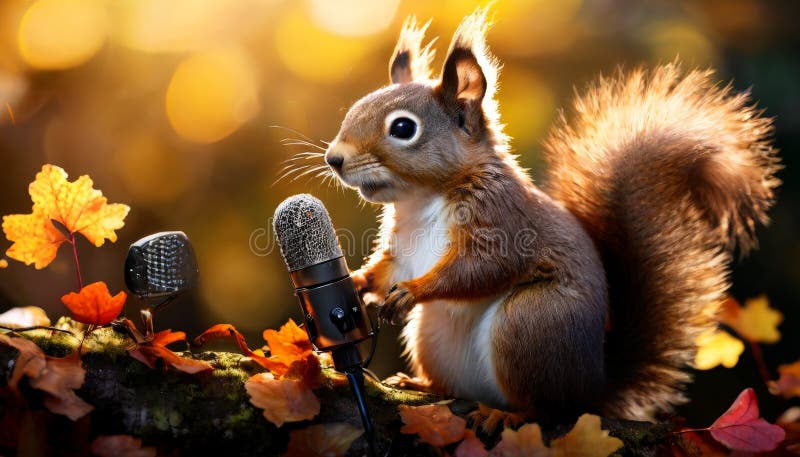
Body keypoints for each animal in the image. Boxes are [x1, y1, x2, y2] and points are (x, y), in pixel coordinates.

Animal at [322, 9, 781, 423]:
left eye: (403, 128)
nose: (334, 159)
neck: (423, 198)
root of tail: (594, 388)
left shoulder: (503, 221)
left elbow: (483, 267)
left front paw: (413, 290)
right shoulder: (403, 244)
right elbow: (387, 268)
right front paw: (358, 281)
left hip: (531, 324)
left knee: (546, 408)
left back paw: (506, 415)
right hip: (434, 335)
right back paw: (420, 383)